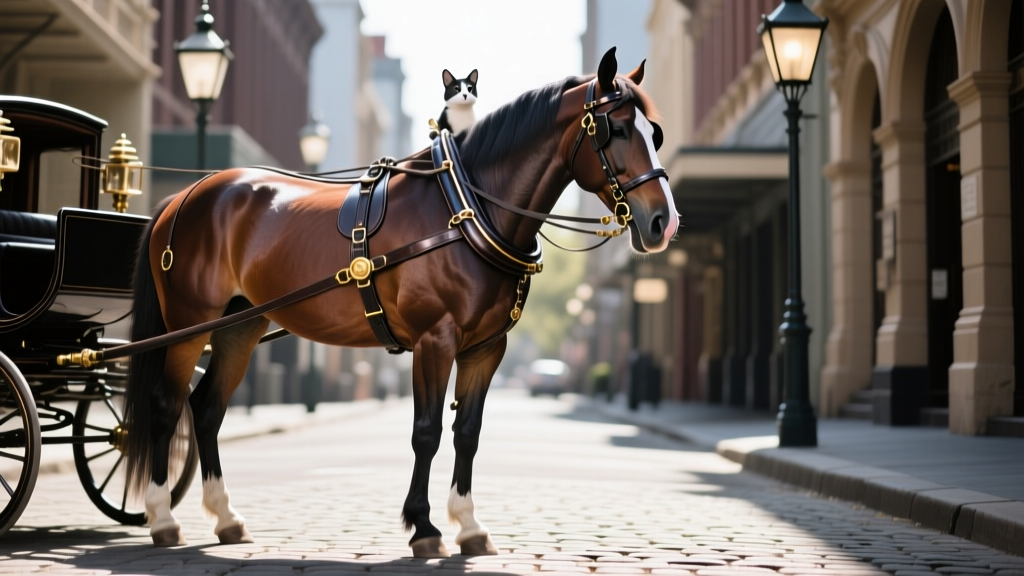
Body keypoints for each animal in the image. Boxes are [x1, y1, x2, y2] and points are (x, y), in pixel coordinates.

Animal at [121, 47, 679, 557]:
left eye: (655, 133)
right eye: (615, 129)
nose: (664, 222)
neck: (465, 208)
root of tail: (185, 194)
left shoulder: (486, 348)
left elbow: (468, 433)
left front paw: (469, 526)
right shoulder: (436, 340)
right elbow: (426, 432)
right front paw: (425, 527)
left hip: (239, 326)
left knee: (207, 409)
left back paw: (225, 517)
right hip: (189, 325)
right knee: (167, 406)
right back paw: (162, 517)